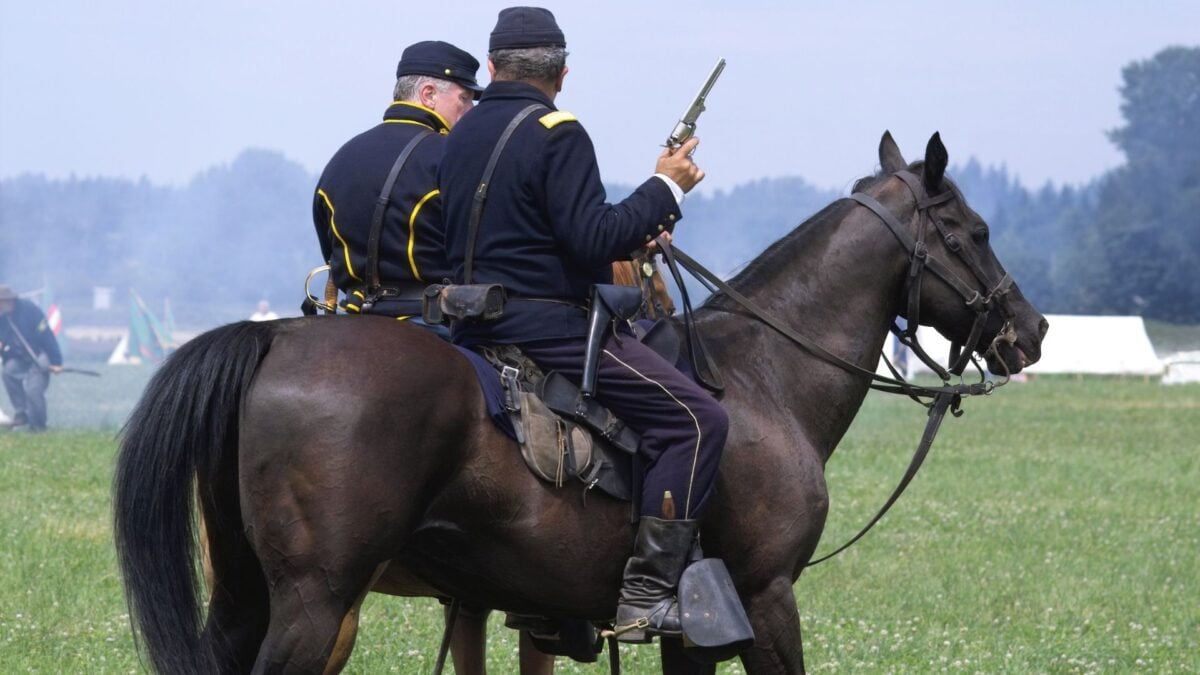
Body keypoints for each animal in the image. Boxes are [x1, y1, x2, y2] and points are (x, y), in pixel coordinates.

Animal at [113, 131, 1047, 674]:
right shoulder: (766, 594)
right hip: (317, 601)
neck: (763, 375)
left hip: (255, 596)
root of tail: (273, 338)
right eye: (971, 231)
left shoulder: (696, 629)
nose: (1030, 330)